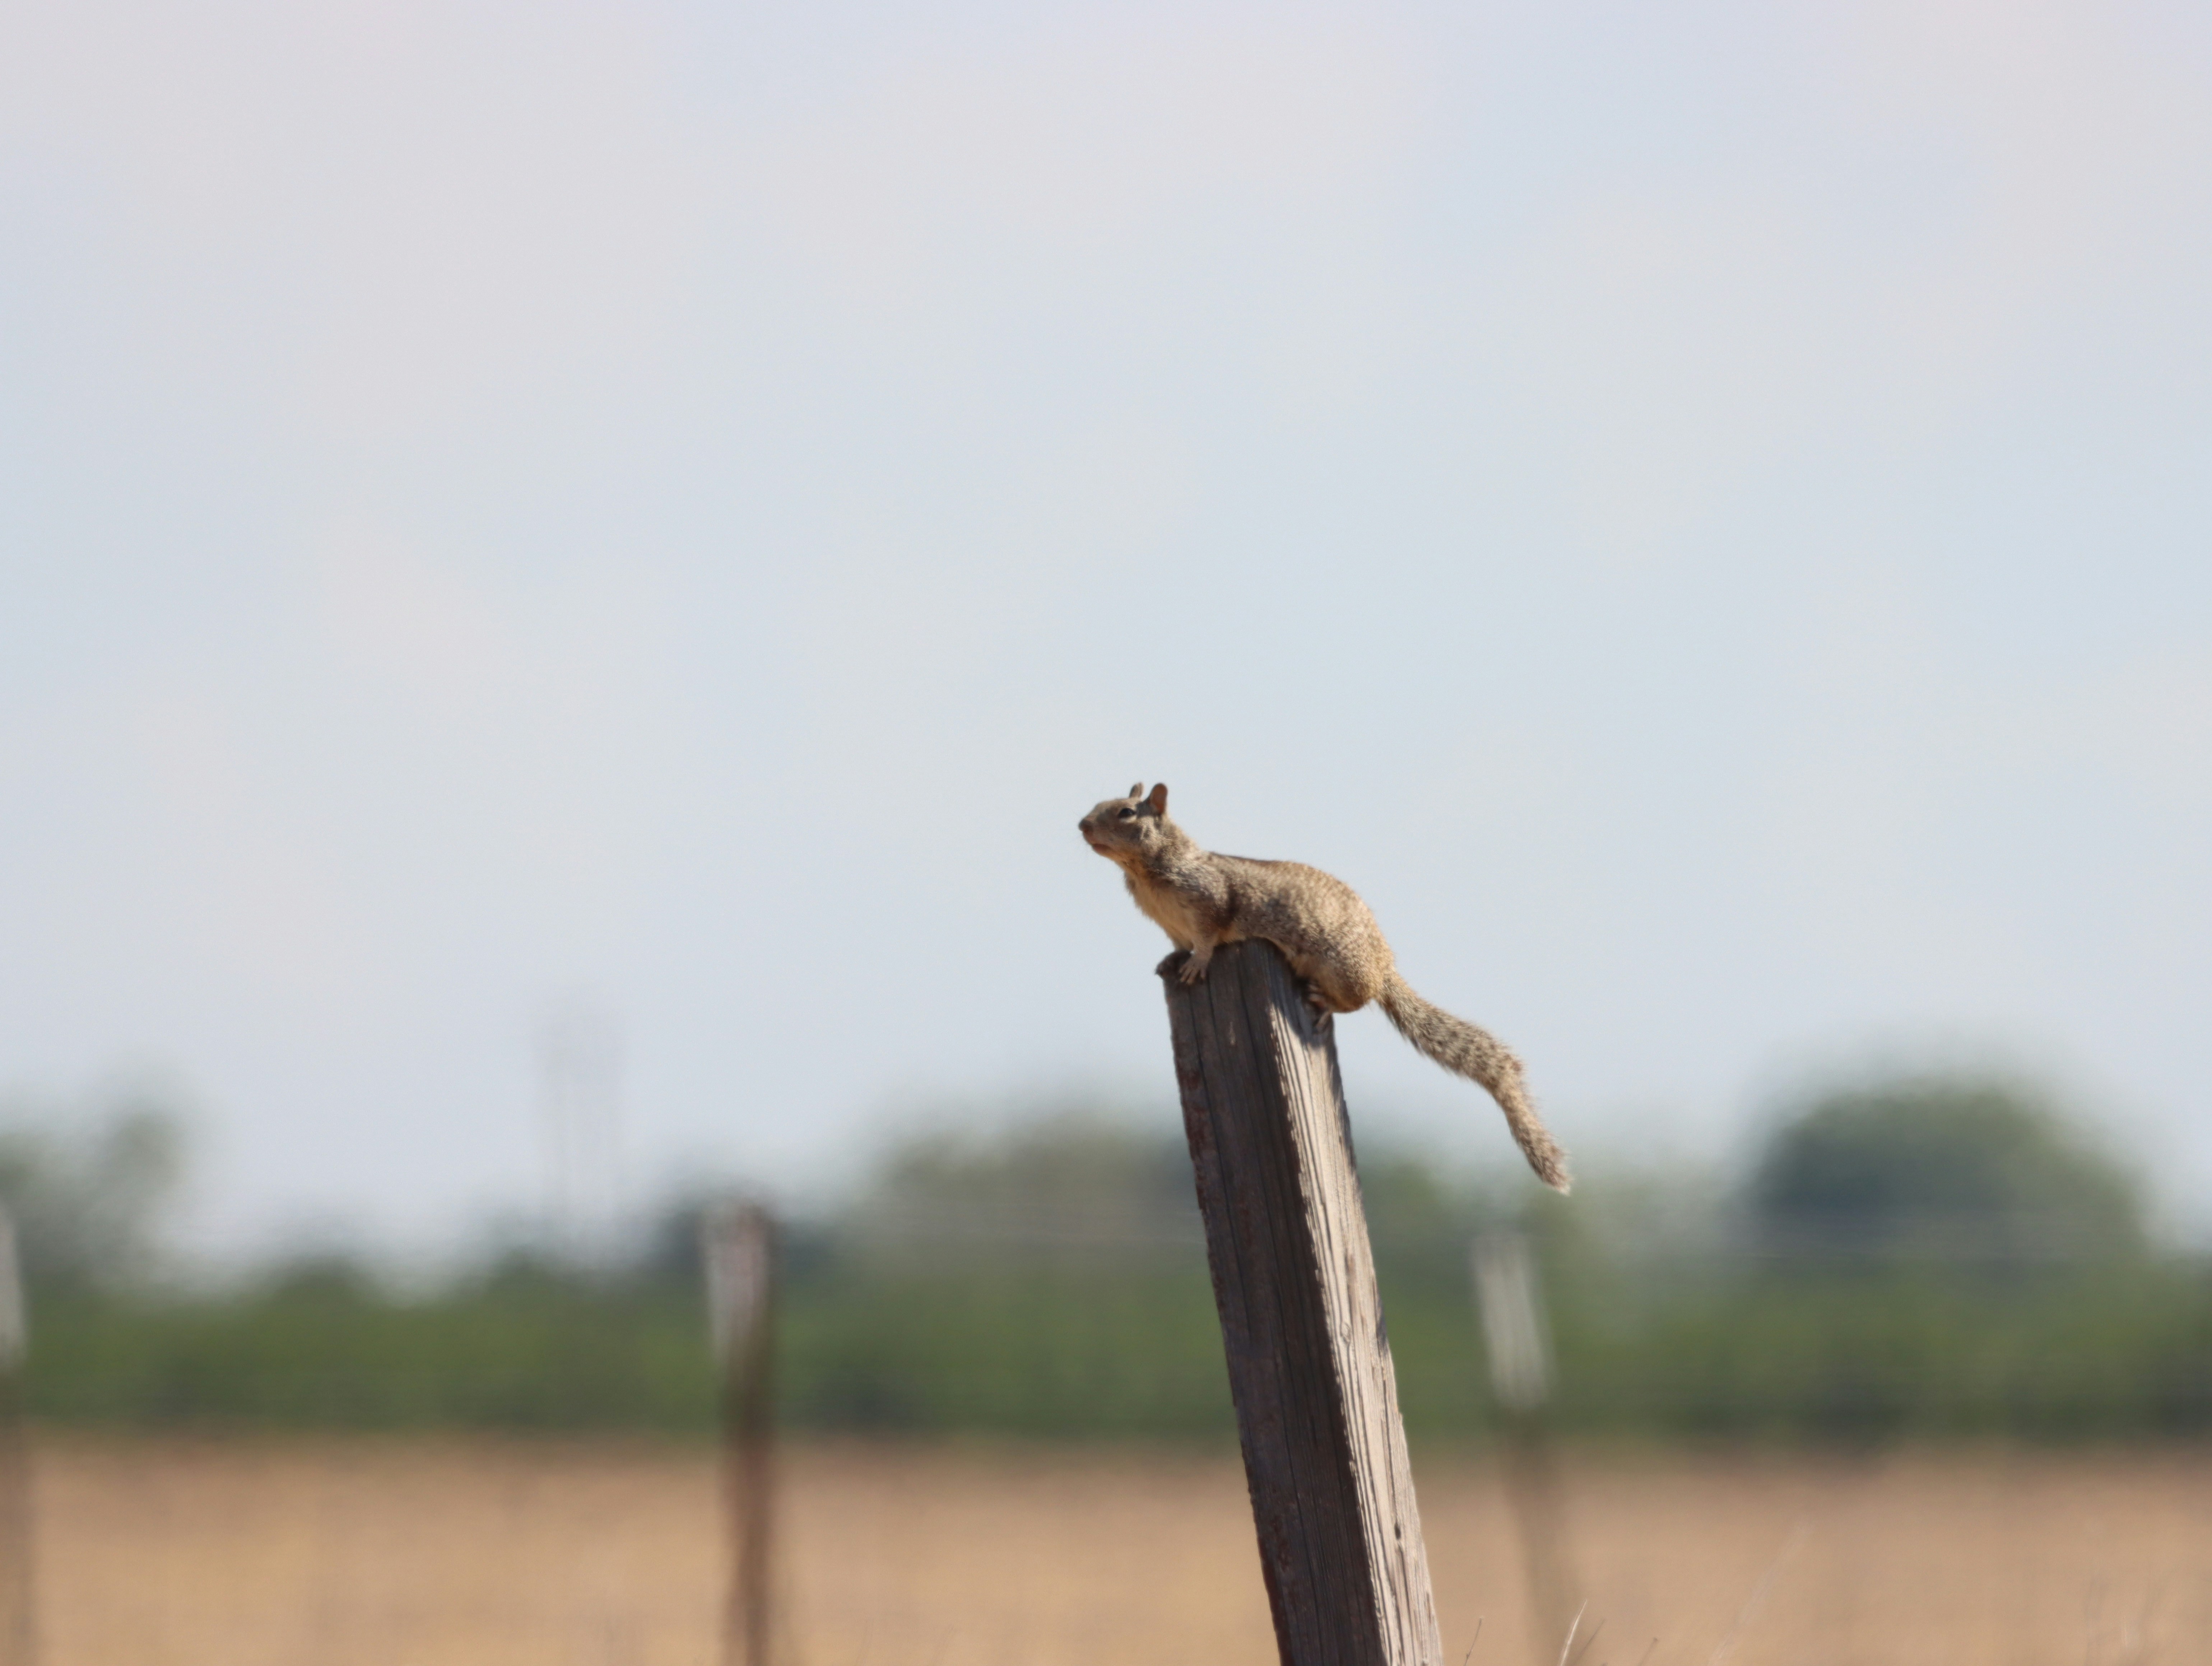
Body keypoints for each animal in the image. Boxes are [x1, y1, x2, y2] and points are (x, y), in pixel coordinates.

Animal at [1079, 782, 1570, 1192]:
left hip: (1341, 969)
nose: (1082, 824)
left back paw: (1324, 1004)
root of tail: (1384, 966)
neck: (1146, 872)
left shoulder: (1209, 905)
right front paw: (1170, 962)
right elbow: (1178, 946)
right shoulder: (1170, 926)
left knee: (1357, 1001)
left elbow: (1206, 940)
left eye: (1125, 812)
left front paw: (1197, 964)